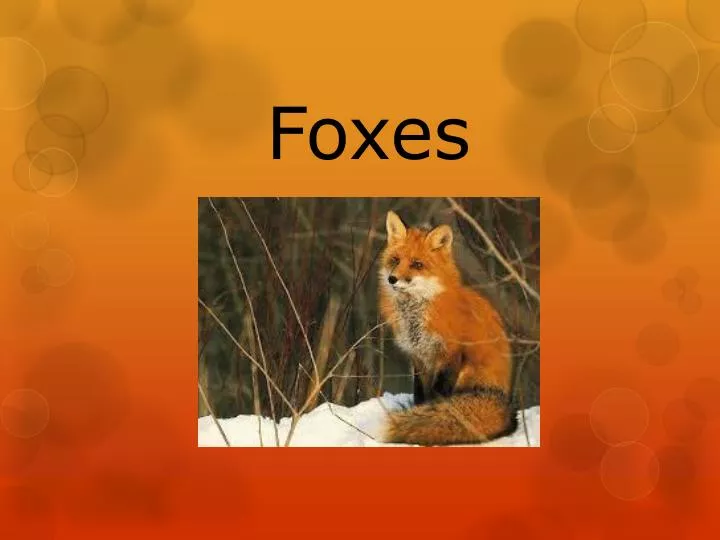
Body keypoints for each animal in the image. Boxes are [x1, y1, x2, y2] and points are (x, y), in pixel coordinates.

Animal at [378, 210, 516, 445]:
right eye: (395, 260)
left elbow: (437, 396)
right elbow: (421, 395)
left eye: (417, 264)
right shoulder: (419, 357)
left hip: (468, 372)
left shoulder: (449, 355)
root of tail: (504, 401)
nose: (392, 279)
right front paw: (418, 413)